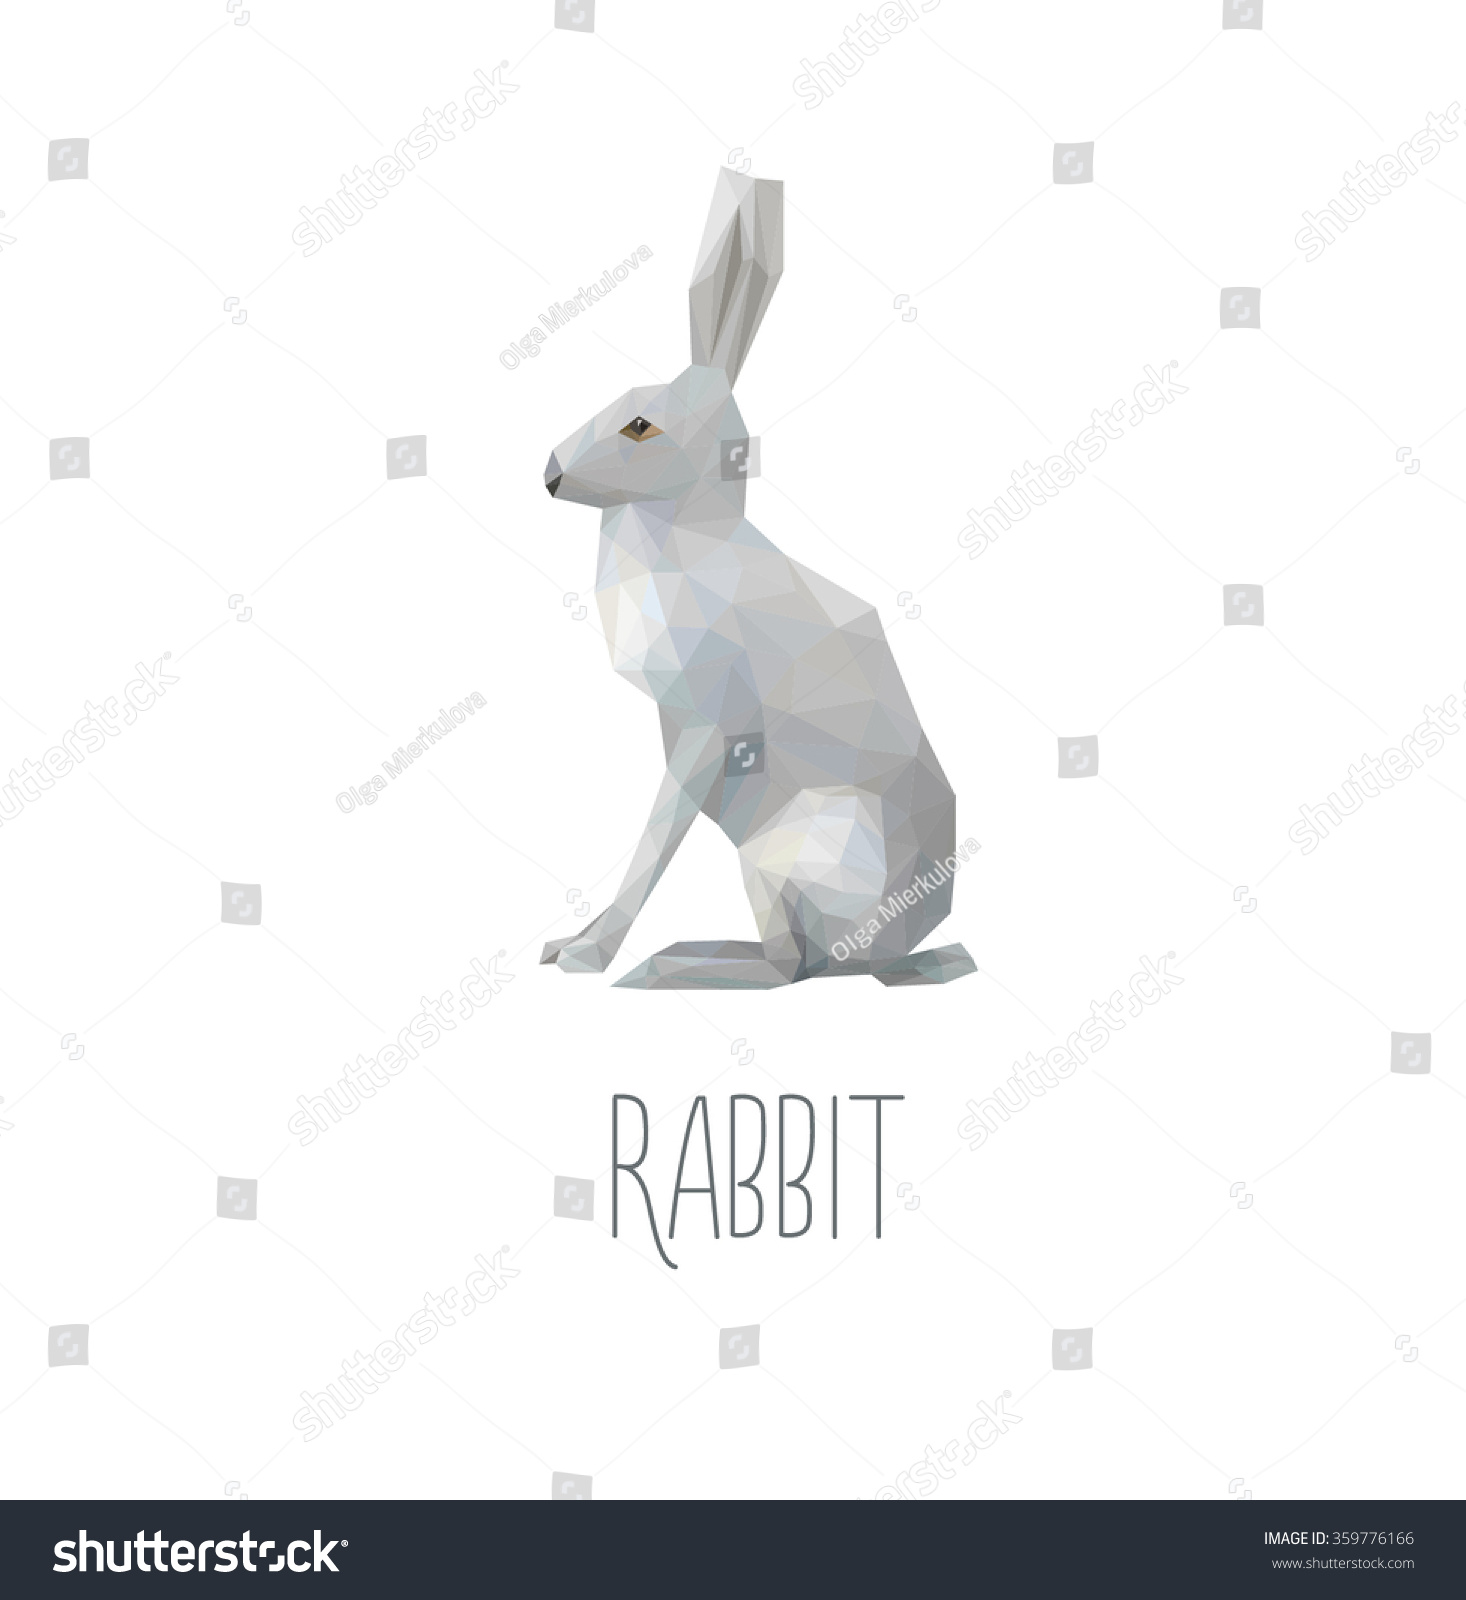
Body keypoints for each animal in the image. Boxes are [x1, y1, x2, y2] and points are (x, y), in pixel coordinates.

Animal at [540, 168, 976, 991]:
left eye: (640, 425)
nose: (547, 476)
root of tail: (905, 945)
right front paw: (562, 942)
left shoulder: (708, 727)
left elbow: (654, 842)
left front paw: (587, 955)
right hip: (761, 872)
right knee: (792, 959)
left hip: (807, 846)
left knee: (802, 971)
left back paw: (667, 968)